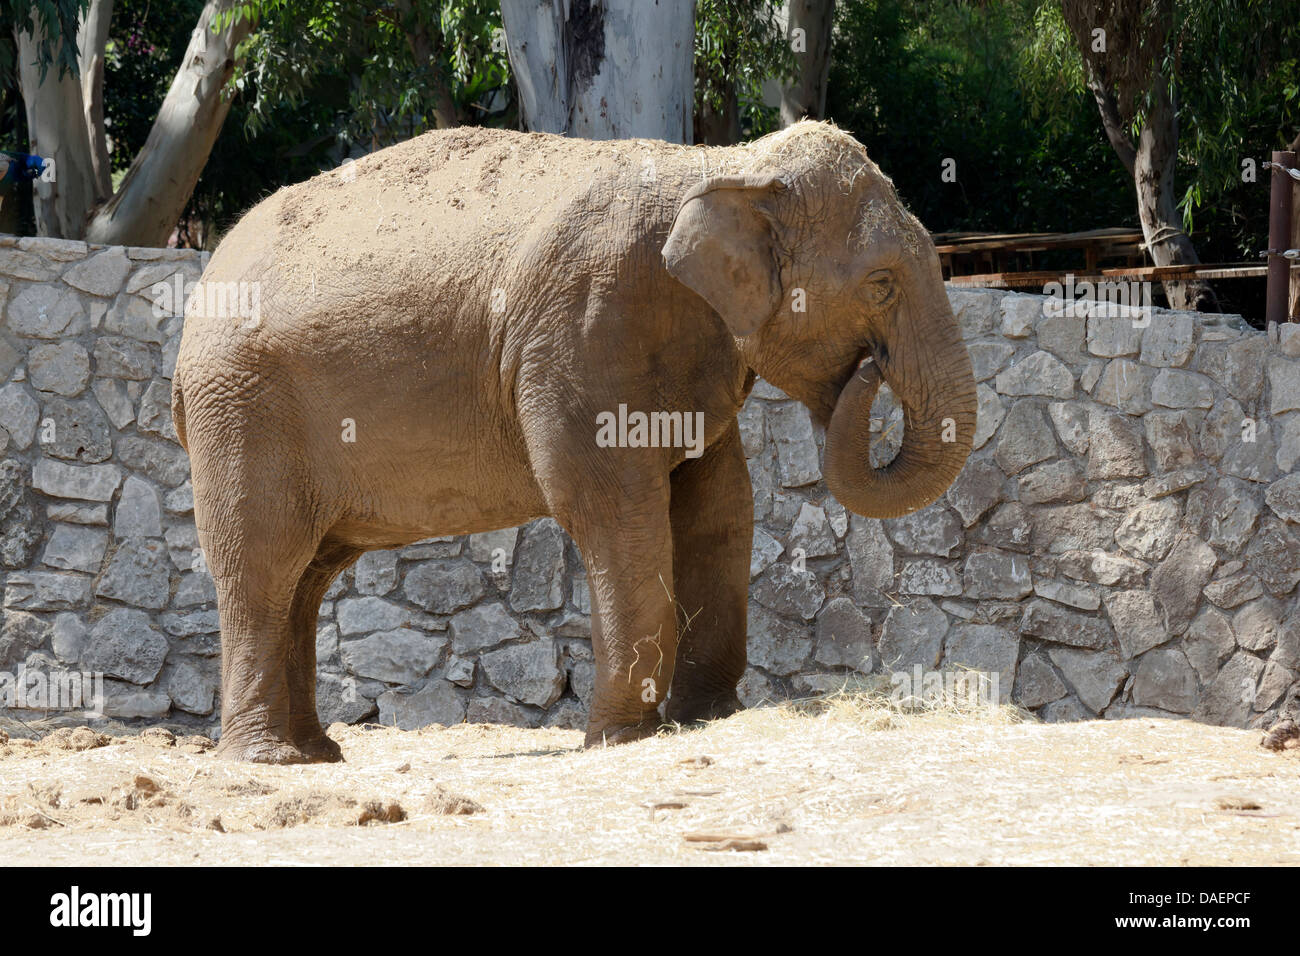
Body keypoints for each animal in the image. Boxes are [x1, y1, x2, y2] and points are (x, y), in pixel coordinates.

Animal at [172, 121, 977, 764]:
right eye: (881, 284)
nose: (869, 369)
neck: (721, 164)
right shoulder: (586, 328)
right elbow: (609, 506)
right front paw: (621, 737)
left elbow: (719, 506)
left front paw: (706, 721)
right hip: (240, 406)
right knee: (262, 562)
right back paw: (269, 761)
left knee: (307, 575)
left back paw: (319, 754)